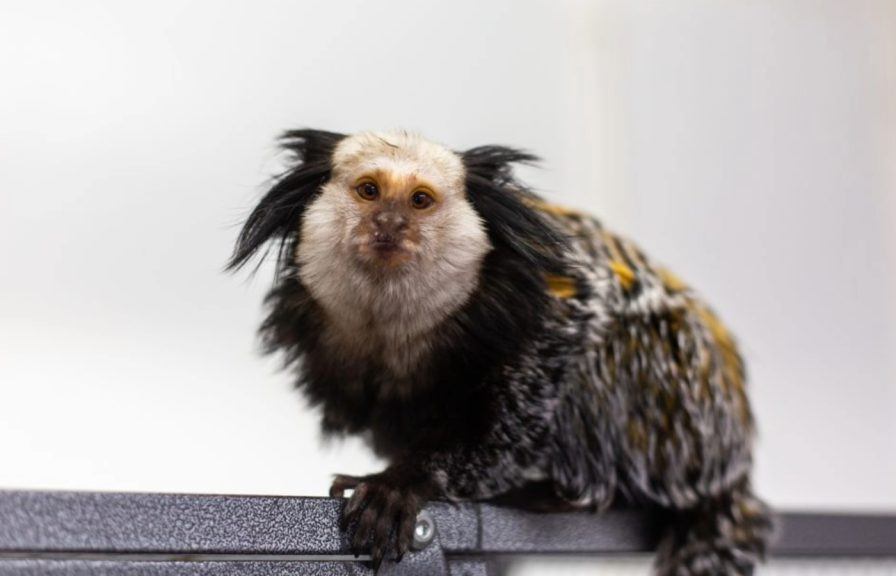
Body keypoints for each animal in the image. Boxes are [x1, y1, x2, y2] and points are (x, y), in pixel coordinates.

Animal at [228, 129, 773, 575]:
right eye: (369, 191)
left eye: (420, 200)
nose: (389, 222)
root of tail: (734, 461)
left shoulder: (556, 299)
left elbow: (570, 341)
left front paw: (409, 479)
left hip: (673, 407)